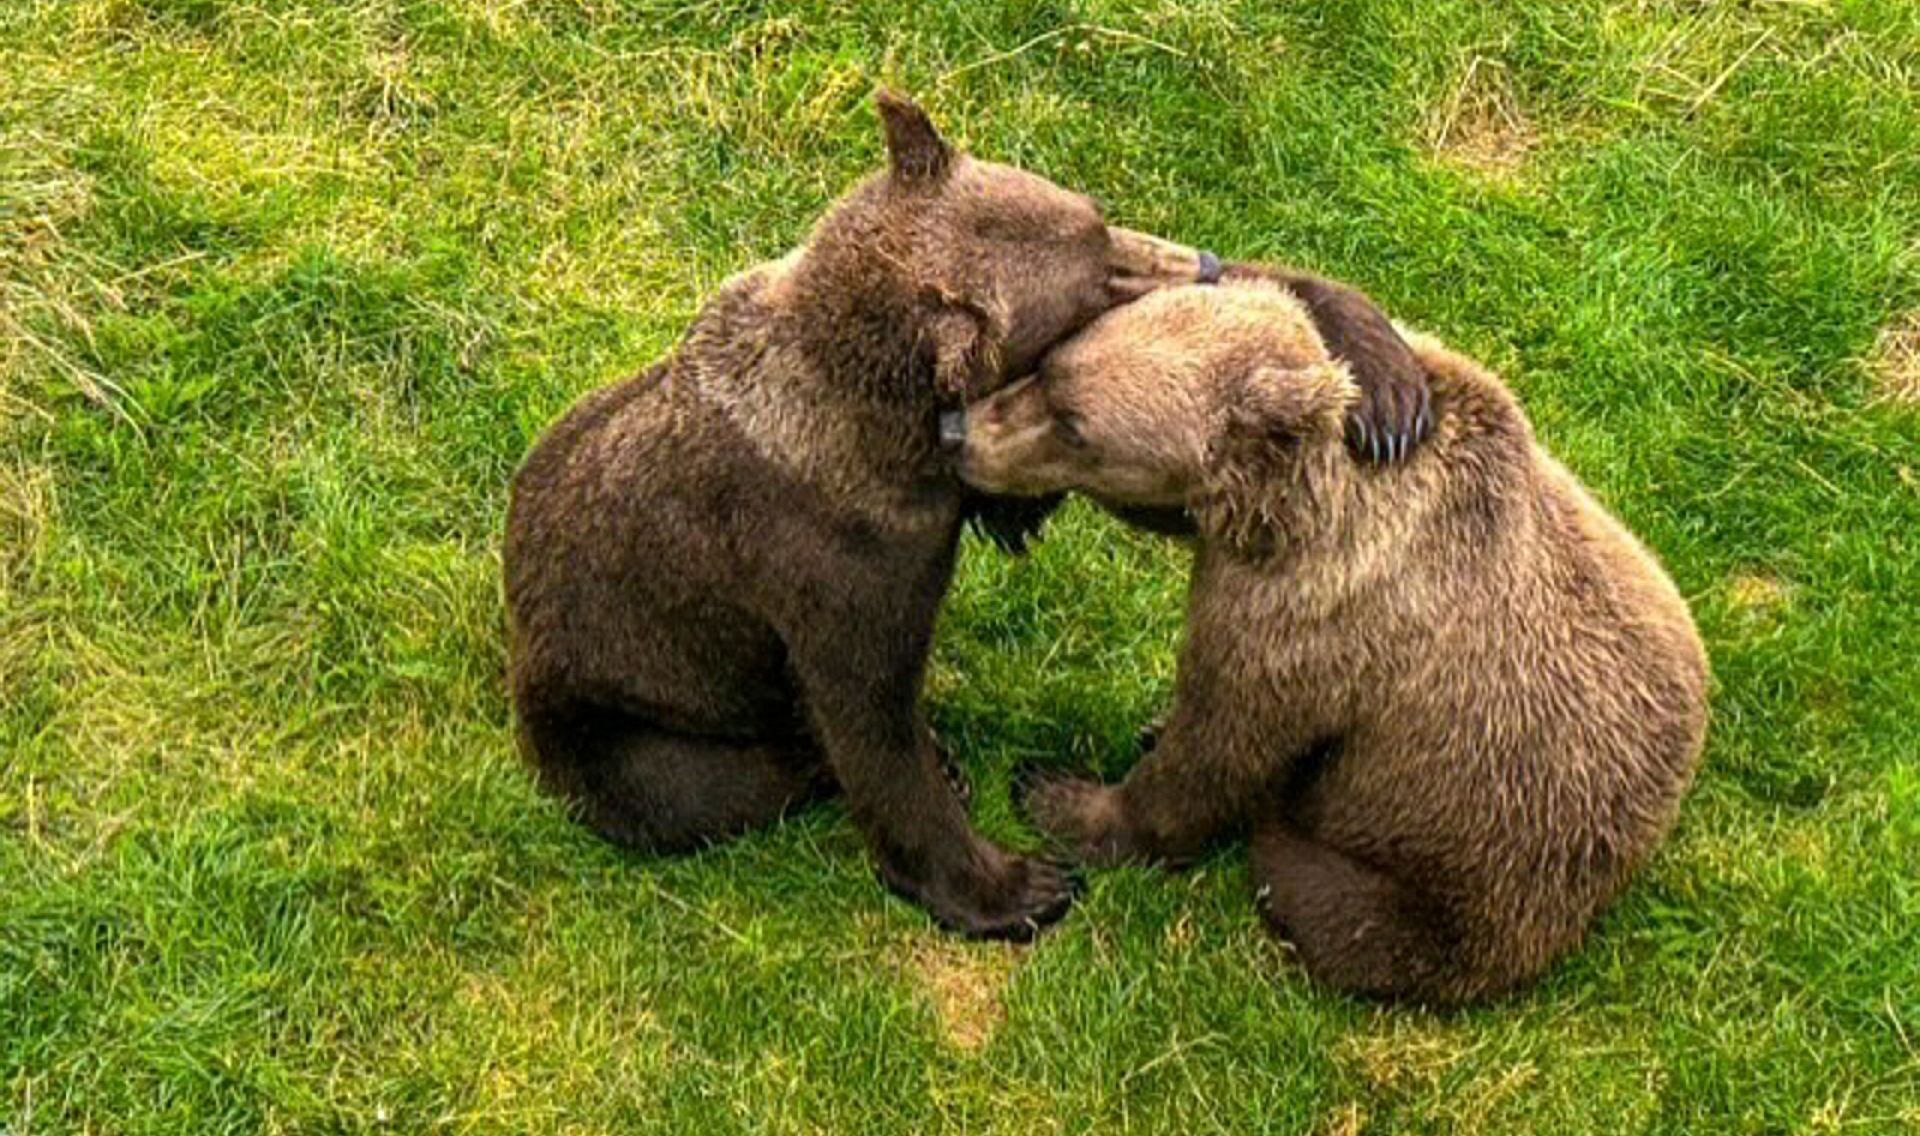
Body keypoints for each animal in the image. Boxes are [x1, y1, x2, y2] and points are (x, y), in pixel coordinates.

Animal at [951, 278, 1709, 997]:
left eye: (1075, 426)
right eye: (1050, 365)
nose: (960, 432)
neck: (1295, 513)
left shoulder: (1311, 627)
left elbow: (1217, 749)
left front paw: (1056, 793)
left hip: (1471, 871)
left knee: (1337, 906)